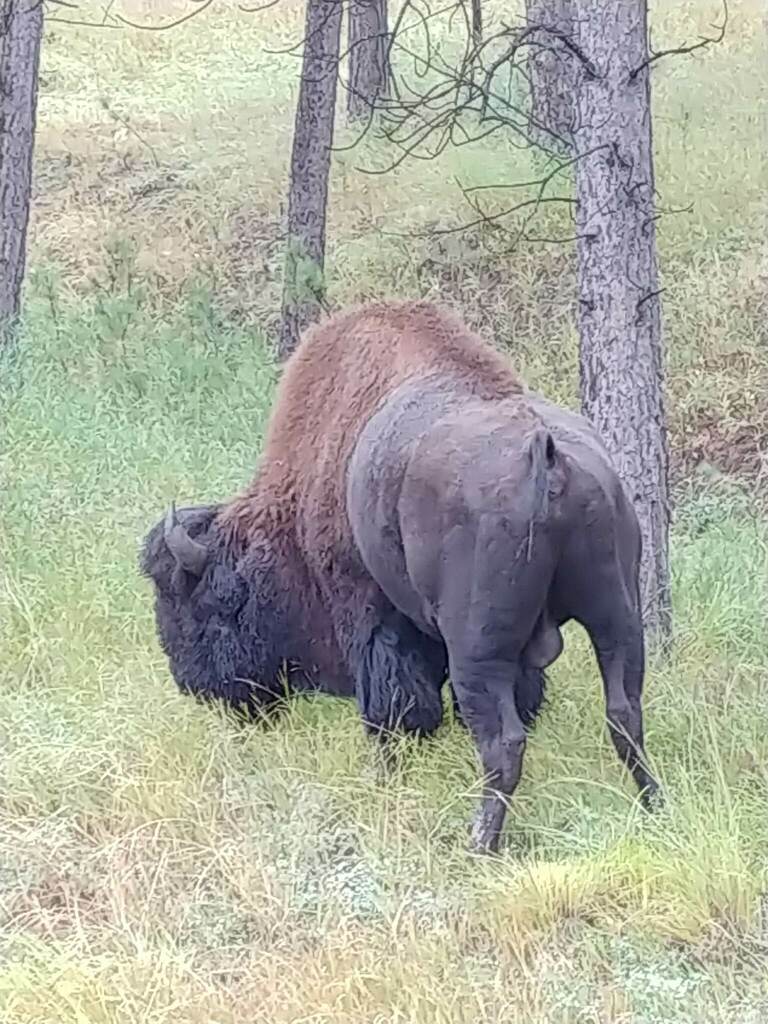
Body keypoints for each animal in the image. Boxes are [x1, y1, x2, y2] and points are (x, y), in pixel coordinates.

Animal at [139, 300, 660, 853]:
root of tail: (550, 459)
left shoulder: (368, 617)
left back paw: (480, 843)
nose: (191, 683)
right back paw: (653, 808)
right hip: (617, 619)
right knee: (625, 715)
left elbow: (394, 706)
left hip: (478, 650)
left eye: (196, 605)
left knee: (504, 742)